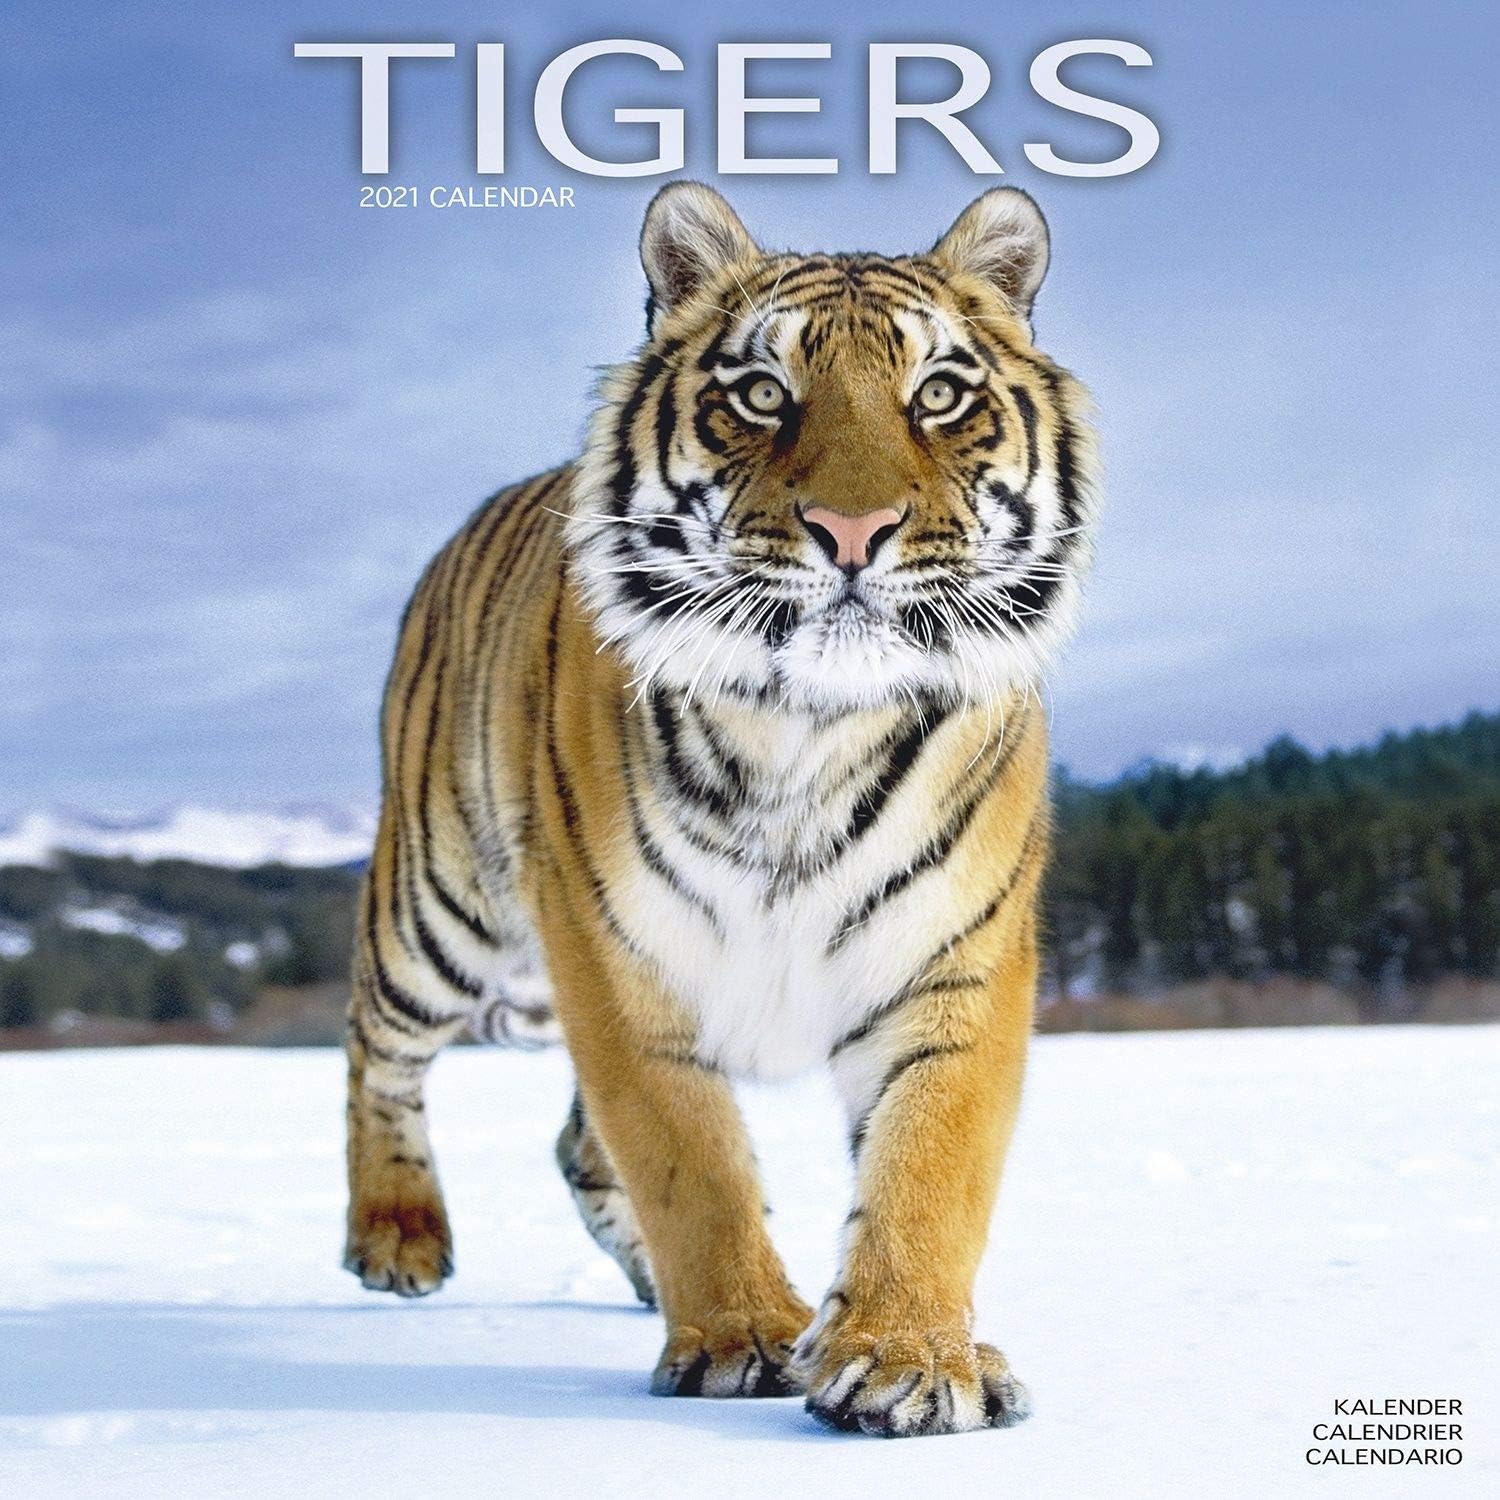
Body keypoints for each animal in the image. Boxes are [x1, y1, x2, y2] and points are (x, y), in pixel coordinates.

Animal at [343, 181, 1098, 1438]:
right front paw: (741, 1338)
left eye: (939, 394)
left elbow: (930, 1164)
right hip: (439, 908)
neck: (809, 727)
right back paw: (396, 1238)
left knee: (573, 1143)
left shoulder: (953, 957)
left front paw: (905, 1358)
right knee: (376, 1043)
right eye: (761, 392)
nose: (854, 532)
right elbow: (687, 1156)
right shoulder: (616, 951)